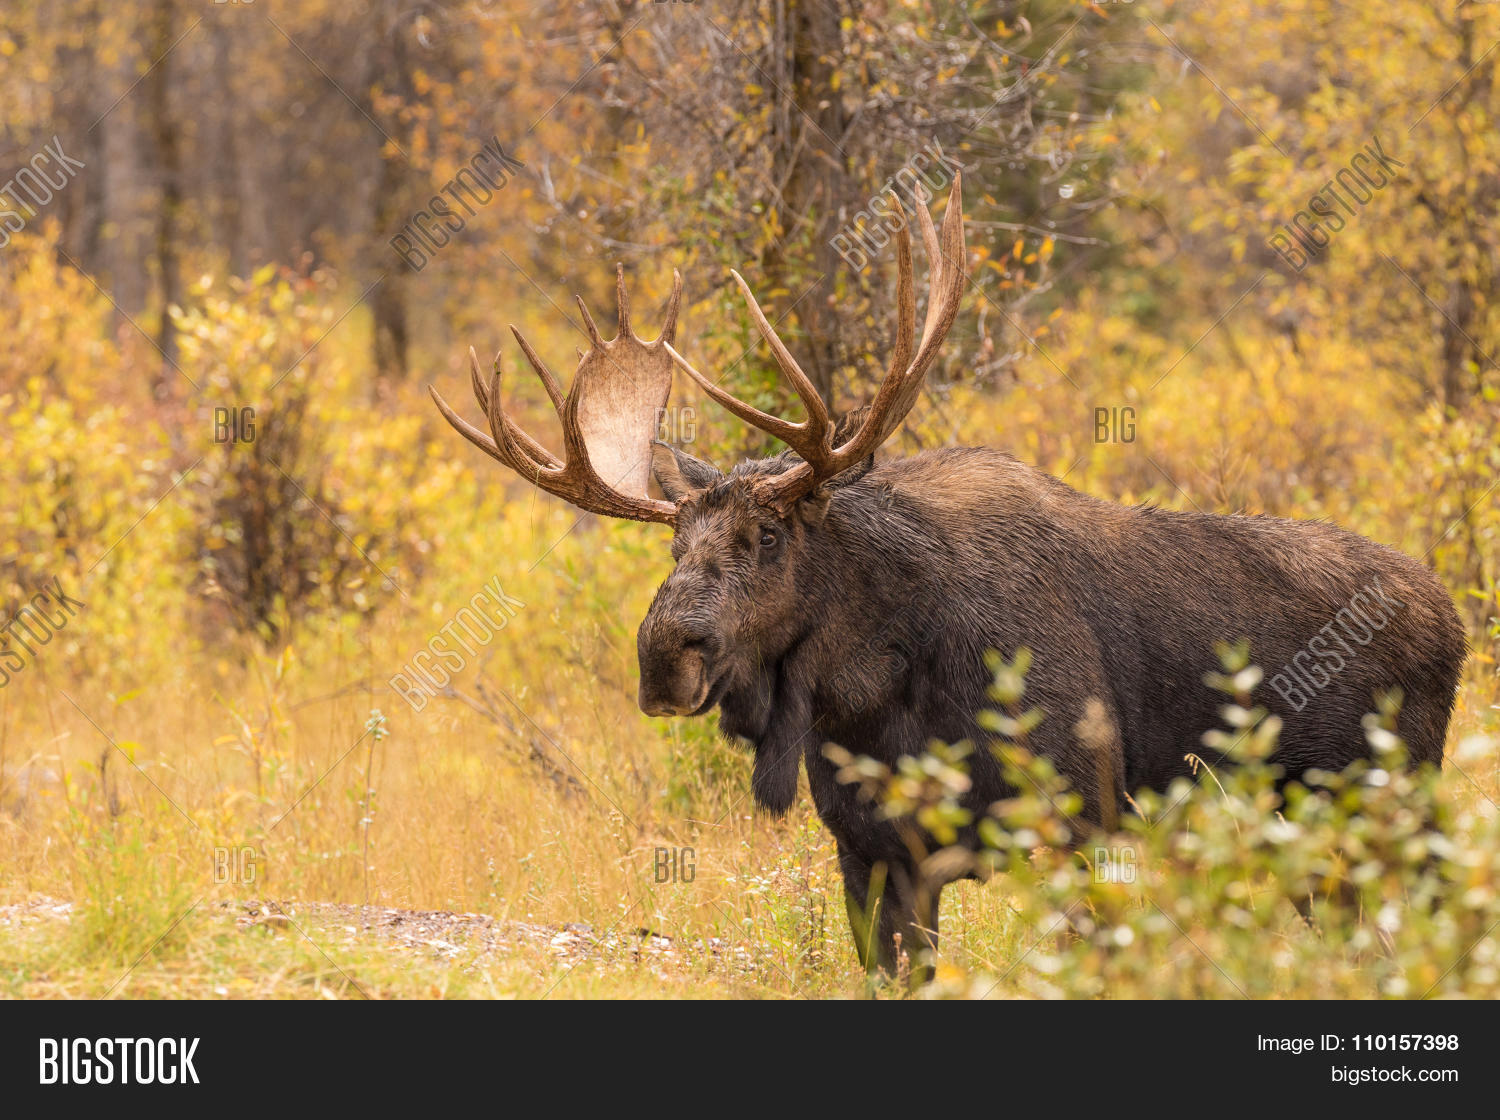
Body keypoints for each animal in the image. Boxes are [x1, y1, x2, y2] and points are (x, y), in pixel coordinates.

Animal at [431, 176, 1466, 982]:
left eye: (768, 533)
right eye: (674, 543)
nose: (663, 654)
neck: (874, 698)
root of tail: (1454, 619)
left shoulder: (1073, 827)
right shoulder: (874, 856)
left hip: (1387, 810)